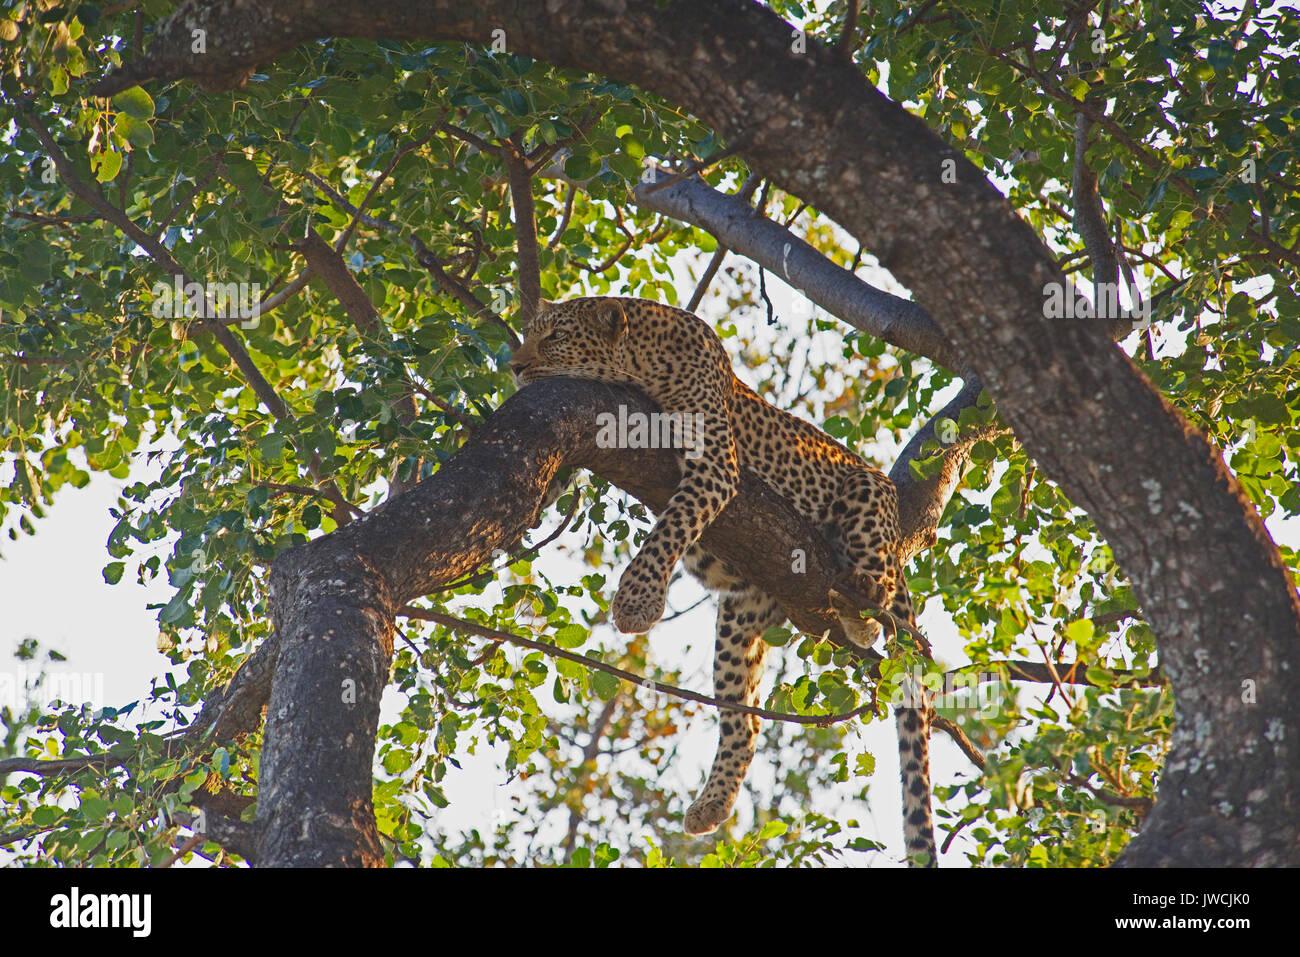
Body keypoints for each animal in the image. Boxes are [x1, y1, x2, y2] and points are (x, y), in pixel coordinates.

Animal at [509, 295, 936, 866]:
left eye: (554, 337)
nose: (515, 368)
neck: (647, 355)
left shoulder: (715, 465)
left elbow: (671, 524)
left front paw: (637, 600)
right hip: (740, 621)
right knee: (745, 723)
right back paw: (710, 806)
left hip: (868, 494)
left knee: (881, 583)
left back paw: (863, 606)